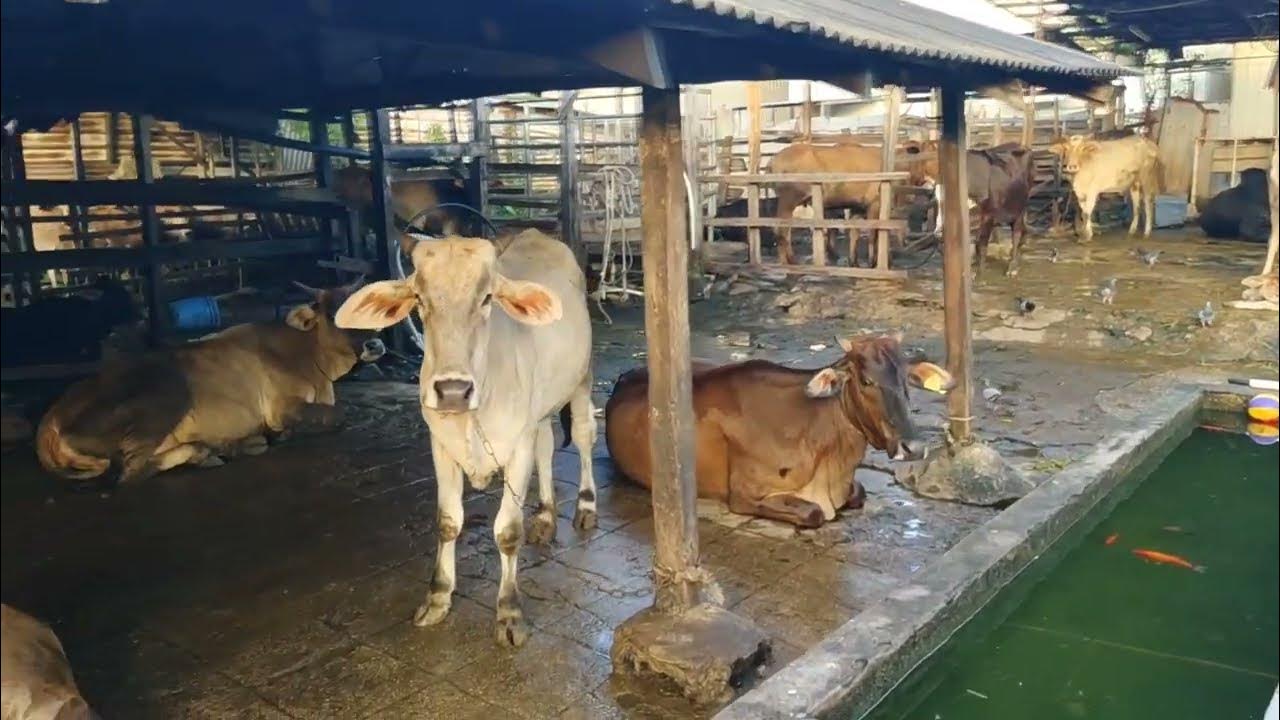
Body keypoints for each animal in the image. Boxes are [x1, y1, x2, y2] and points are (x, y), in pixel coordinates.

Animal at [35, 280, 385, 485]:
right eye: (333, 314)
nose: (374, 345)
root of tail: (51, 418)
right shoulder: (282, 407)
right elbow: (337, 415)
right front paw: (283, 435)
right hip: (166, 395)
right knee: (131, 471)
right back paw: (215, 450)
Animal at [333, 229, 598, 647]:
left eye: (487, 297)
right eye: (419, 299)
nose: (453, 391)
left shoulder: (517, 446)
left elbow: (507, 531)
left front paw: (509, 612)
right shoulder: (440, 446)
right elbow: (448, 521)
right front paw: (438, 597)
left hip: (582, 379)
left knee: (585, 437)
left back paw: (586, 507)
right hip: (541, 407)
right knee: (546, 446)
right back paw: (545, 516)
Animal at [604, 335, 953, 528]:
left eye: (907, 379)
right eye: (866, 380)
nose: (913, 446)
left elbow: (859, 493)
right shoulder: (744, 494)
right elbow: (813, 513)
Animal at [766, 141, 934, 263]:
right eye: (929, 156)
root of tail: (774, 158)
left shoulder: (857, 206)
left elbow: (855, 232)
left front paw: (854, 261)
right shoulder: (874, 203)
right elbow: (873, 233)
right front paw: (873, 262)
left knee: (785, 229)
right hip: (788, 199)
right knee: (780, 229)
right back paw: (787, 263)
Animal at [922, 142, 1035, 276]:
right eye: (937, 201)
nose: (939, 232)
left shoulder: (988, 217)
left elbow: (981, 245)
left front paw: (980, 272)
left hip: (1020, 207)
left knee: (1016, 233)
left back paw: (1012, 267)